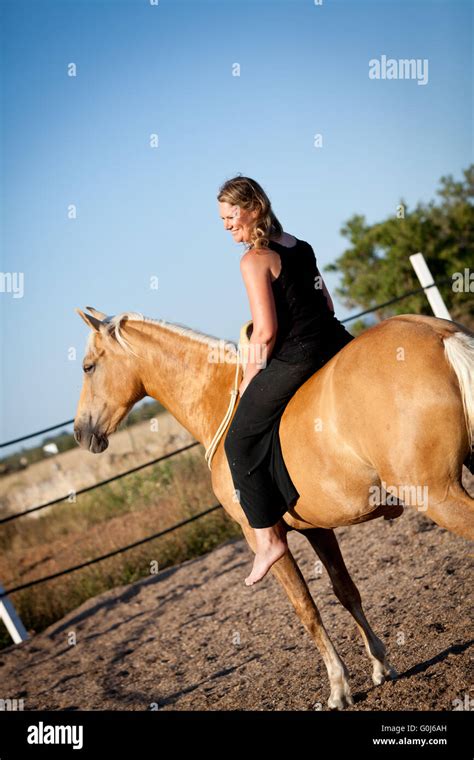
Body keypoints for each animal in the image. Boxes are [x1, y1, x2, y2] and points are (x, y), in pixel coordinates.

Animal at [73, 306, 474, 709]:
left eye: (88, 367)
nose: (80, 432)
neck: (219, 403)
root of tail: (439, 334)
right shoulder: (318, 529)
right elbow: (345, 591)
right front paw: (380, 666)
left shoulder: (265, 538)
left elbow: (305, 609)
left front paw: (338, 687)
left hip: (437, 495)